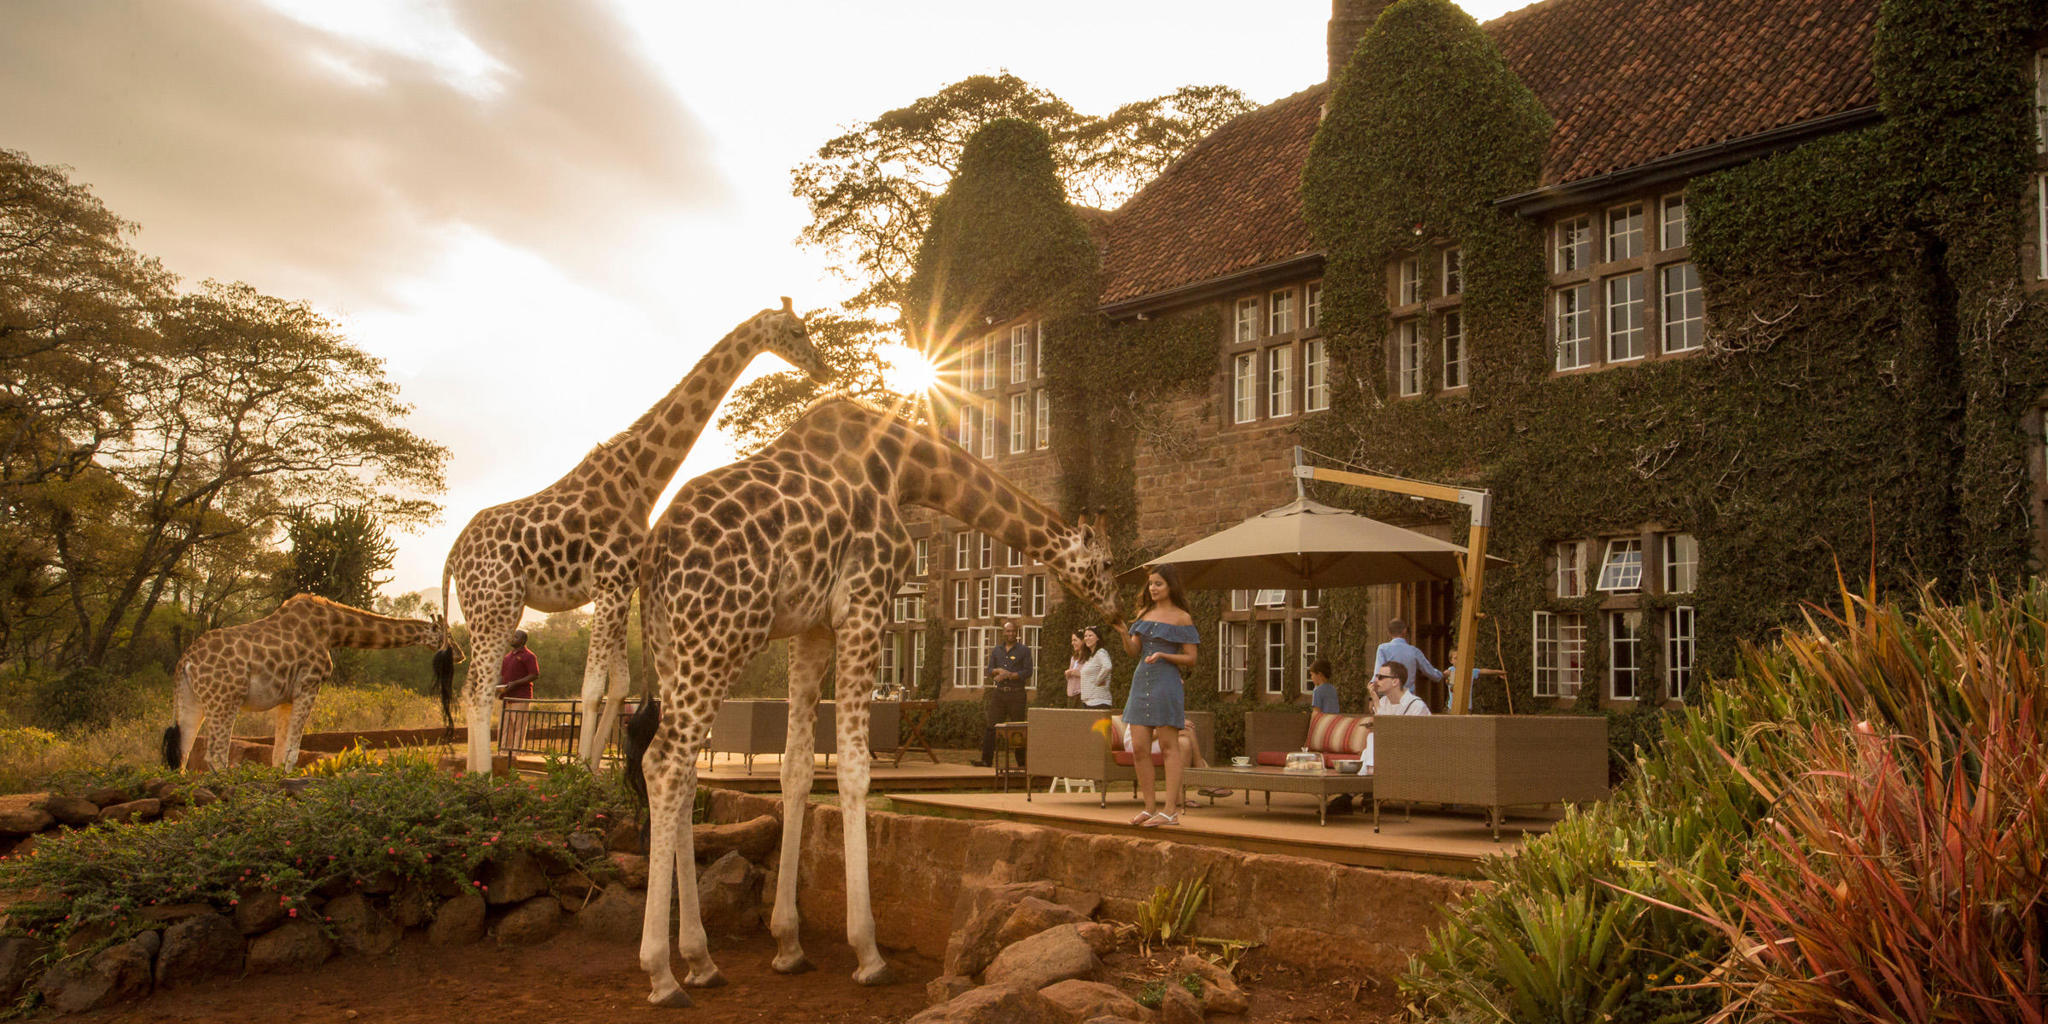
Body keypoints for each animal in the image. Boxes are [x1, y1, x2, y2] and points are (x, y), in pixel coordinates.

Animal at [162, 594, 457, 771]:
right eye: (449, 635)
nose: (462, 654)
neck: (334, 630)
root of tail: (185, 662)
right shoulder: (309, 685)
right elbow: (292, 750)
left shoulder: (286, 697)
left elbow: (279, 751)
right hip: (224, 700)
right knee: (215, 754)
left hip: (192, 701)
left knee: (183, 753)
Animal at [441, 300, 825, 772]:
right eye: (797, 330)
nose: (822, 368)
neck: (640, 479)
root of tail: (453, 555)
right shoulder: (609, 583)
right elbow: (591, 687)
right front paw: (577, 773)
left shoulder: (621, 586)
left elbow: (618, 685)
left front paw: (590, 770)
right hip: (493, 603)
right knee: (478, 688)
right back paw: (483, 778)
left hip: (496, 606)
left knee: (473, 686)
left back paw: (474, 773)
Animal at [632, 396, 1122, 1007]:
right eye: (1107, 563)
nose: (1121, 610)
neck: (906, 469)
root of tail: (654, 554)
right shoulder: (864, 604)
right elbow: (854, 770)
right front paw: (868, 953)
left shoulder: (813, 627)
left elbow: (797, 769)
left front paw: (788, 944)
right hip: (722, 635)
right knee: (665, 763)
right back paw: (661, 974)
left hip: (673, 647)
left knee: (683, 772)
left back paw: (701, 960)